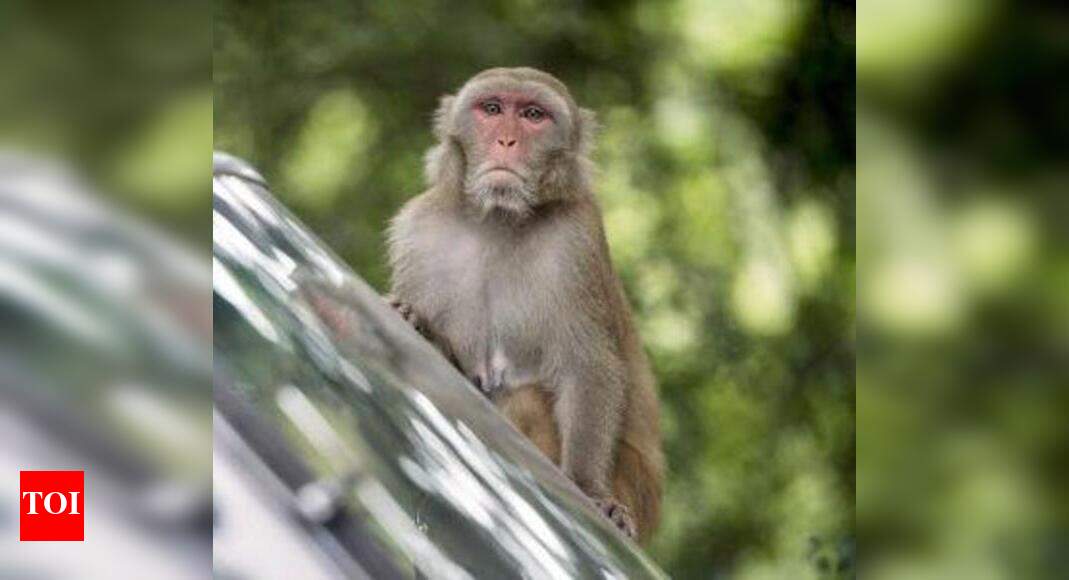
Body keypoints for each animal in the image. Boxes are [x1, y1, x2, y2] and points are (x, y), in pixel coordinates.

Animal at [386, 67, 663, 542]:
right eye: (492, 108)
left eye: (534, 115)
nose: (506, 140)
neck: (499, 222)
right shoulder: (419, 231)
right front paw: (416, 323)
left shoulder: (576, 242)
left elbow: (589, 367)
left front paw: (590, 489)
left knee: (527, 397)